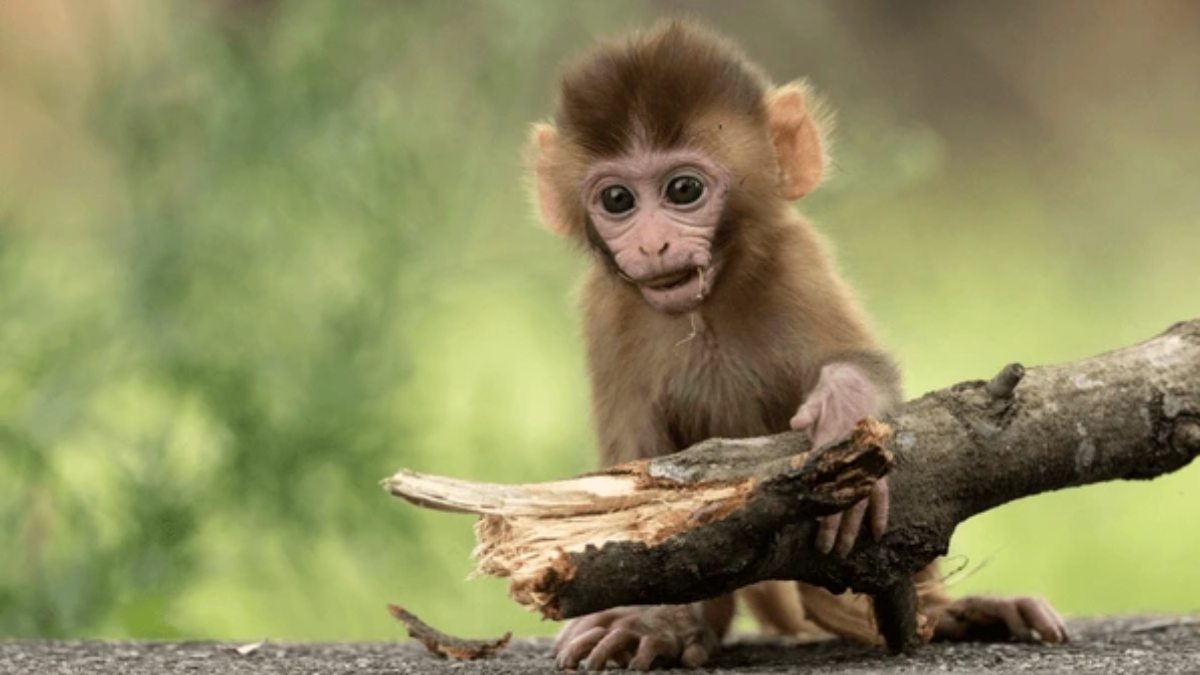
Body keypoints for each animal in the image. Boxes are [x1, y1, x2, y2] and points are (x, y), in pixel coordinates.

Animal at [528, 20, 1068, 671]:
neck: (706, 308)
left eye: (683, 189)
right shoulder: (607, 312)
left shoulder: (796, 261)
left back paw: (948, 612)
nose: (654, 245)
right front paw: (649, 623)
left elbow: (870, 369)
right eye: (617, 201)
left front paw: (845, 405)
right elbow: (633, 485)